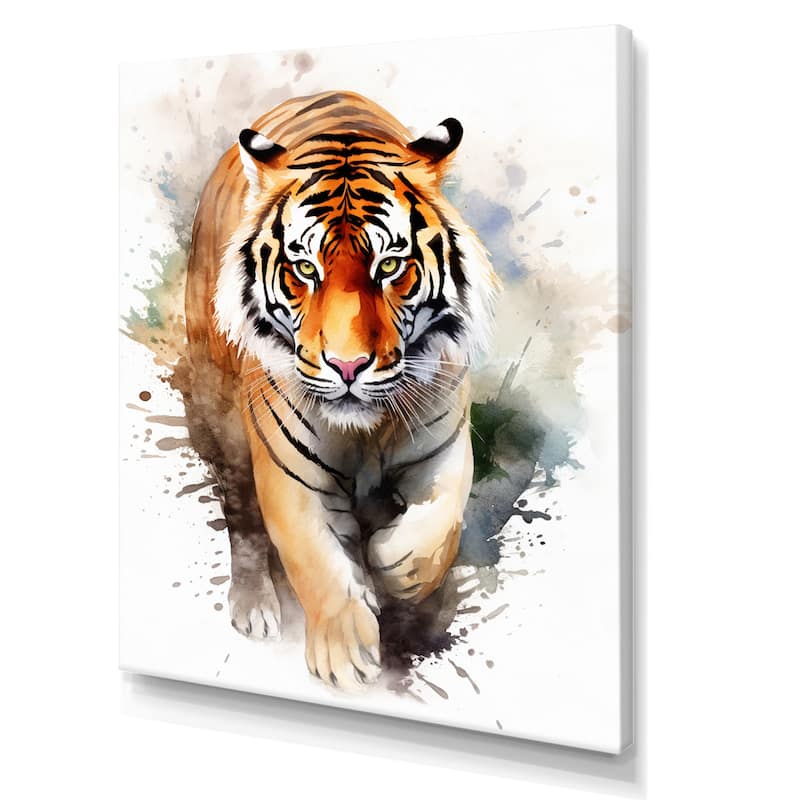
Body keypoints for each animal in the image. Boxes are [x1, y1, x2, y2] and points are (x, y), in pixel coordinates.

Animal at [183, 90, 498, 691]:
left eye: (390, 265)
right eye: (303, 269)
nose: (347, 366)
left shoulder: (445, 449)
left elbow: (436, 528)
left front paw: (393, 567)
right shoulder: (289, 475)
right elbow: (316, 560)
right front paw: (345, 654)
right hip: (219, 413)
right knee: (240, 513)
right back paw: (255, 605)